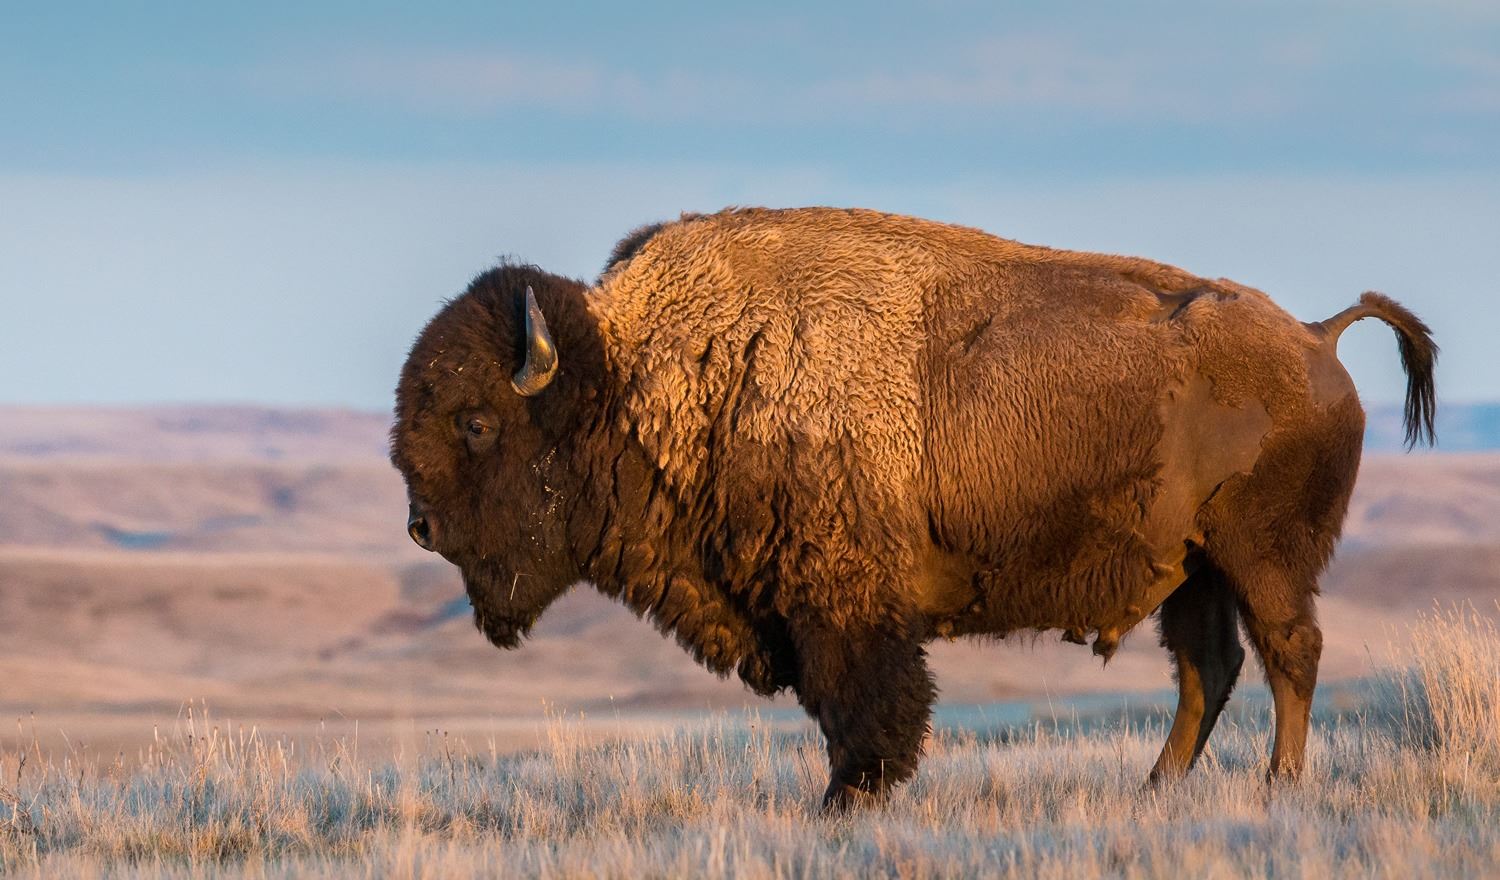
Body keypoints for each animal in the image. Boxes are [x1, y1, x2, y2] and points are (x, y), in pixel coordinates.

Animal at [390, 207, 1436, 809]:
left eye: (477, 421)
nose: (421, 527)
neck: (652, 378)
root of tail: (1315, 338)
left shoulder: (845, 609)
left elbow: (866, 707)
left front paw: (848, 801)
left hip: (1262, 557)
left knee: (1290, 655)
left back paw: (1280, 785)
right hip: (1191, 569)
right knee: (1206, 671)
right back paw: (1155, 789)